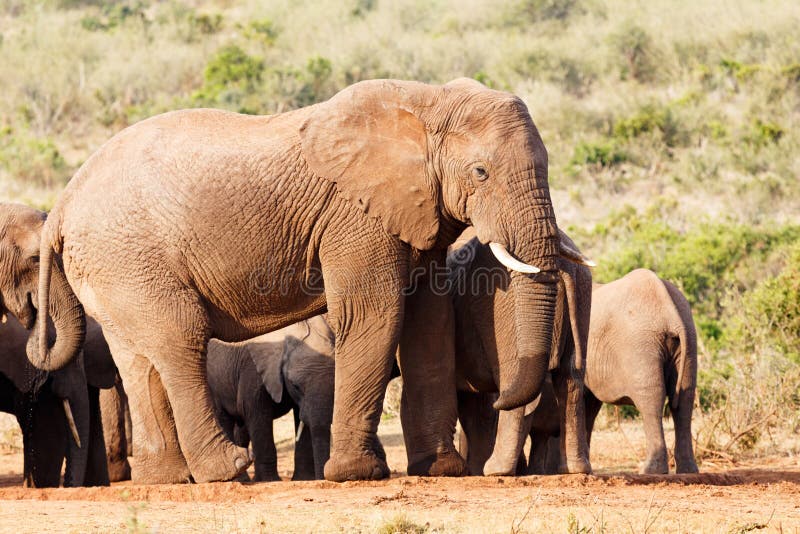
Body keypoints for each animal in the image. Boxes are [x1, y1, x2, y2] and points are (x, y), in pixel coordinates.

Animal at [23, 78, 565, 484]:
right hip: (130, 254)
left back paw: (168, 479)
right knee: (179, 338)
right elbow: (375, 313)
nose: (499, 395)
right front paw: (357, 474)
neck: (428, 101)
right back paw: (227, 470)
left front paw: (439, 470)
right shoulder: (354, 216)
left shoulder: (416, 212)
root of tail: (62, 205)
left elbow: (428, 325)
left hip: (111, 264)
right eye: (481, 172)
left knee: (139, 358)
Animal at [451, 228, 594, 476]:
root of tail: (564, 264)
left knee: (512, 381)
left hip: (504, 307)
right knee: (570, 378)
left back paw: (496, 469)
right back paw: (575, 468)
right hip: (583, 291)